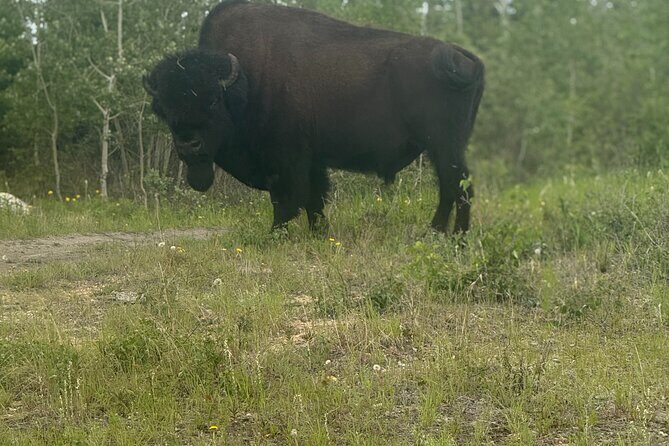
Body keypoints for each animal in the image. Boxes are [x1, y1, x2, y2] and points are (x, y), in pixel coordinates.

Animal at [143, 0, 484, 233]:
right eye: (164, 107)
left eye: (213, 101)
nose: (189, 146)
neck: (246, 81)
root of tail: (462, 56)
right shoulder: (312, 160)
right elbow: (314, 199)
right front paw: (319, 232)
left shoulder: (287, 159)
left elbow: (287, 199)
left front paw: (275, 233)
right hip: (444, 147)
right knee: (453, 187)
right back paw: (441, 233)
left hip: (443, 145)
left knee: (456, 187)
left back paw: (449, 235)